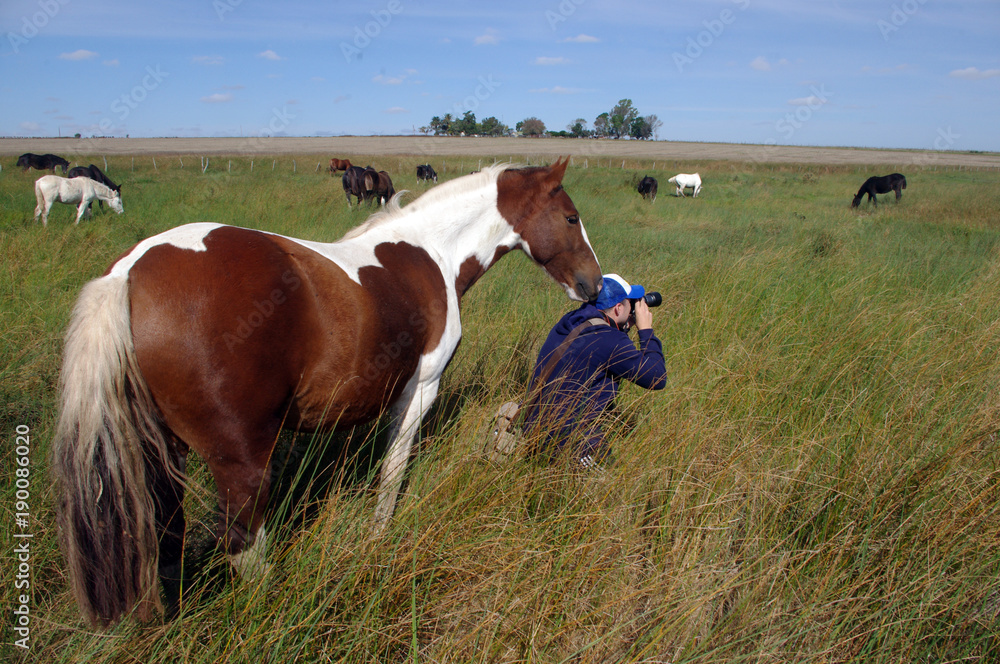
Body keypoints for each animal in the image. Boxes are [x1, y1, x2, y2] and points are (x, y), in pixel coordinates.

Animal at [51, 158, 603, 627]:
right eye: (571, 217)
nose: (593, 285)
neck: (430, 252)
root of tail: (130, 272)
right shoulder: (420, 388)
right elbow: (392, 472)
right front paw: (379, 537)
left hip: (163, 451)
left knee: (166, 537)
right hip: (240, 457)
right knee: (244, 546)